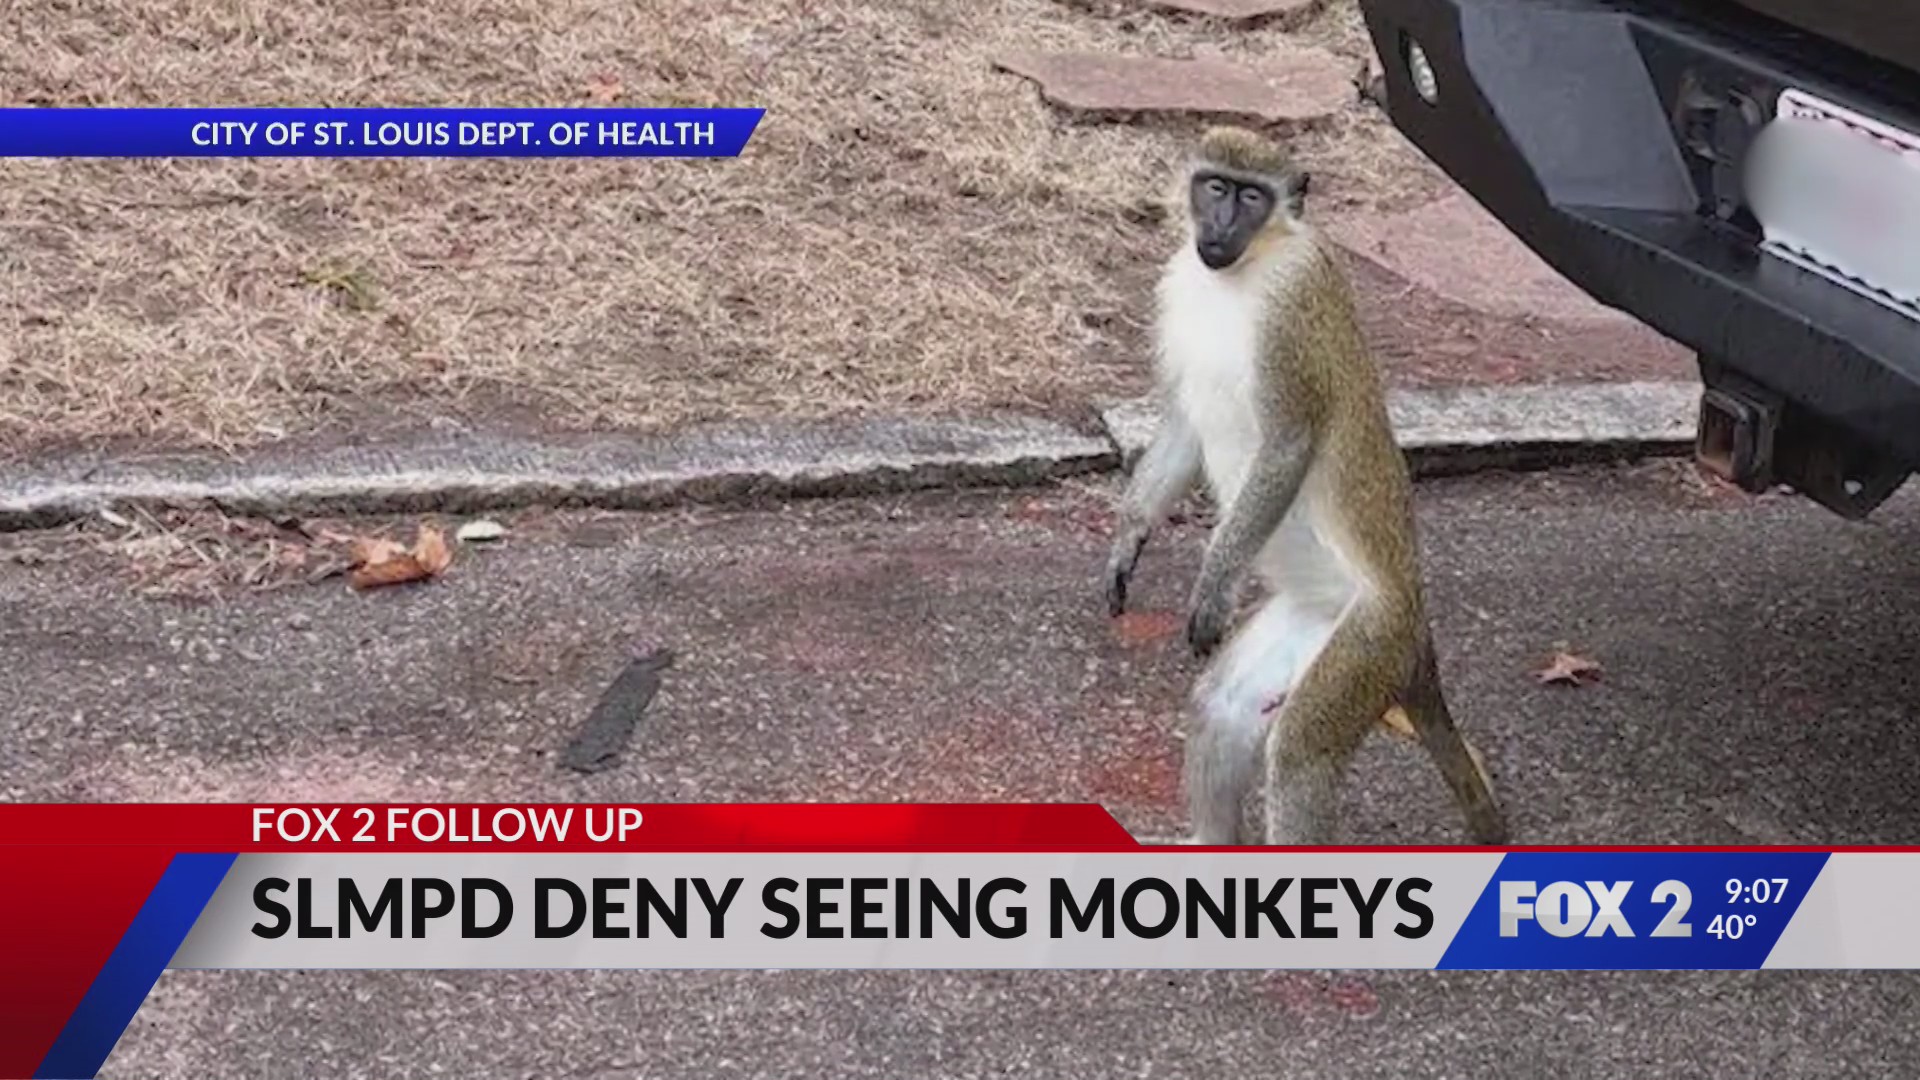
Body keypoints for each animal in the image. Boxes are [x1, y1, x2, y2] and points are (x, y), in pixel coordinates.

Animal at [1103, 125, 1508, 847]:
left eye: (1251, 196)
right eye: (1215, 185)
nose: (1220, 226)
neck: (1242, 271)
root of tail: (1417, 629)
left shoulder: (1293, 305)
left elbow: (1288, 443)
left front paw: (1215, 579)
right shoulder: (1177, 285)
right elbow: (1183, 425)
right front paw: (1130, 537)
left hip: (1370, 641)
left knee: (1298, 752)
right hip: (1310, 626)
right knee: (1222, 709)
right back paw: (1211, 844)